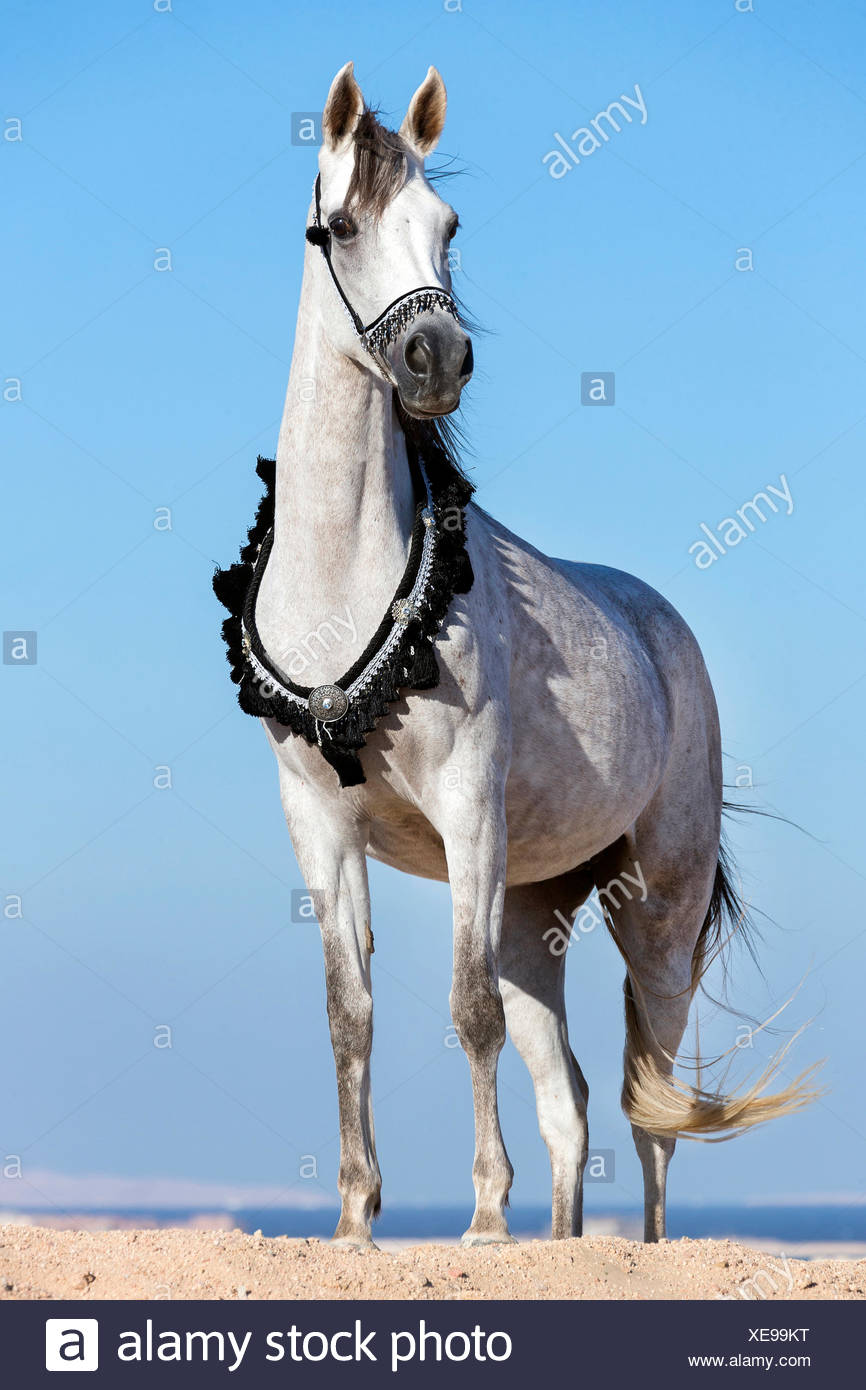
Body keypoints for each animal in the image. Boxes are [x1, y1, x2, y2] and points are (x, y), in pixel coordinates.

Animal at [214, 61, 818, 1247]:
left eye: (447, 226)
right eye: (341, 226)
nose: (437, 359)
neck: (347, 581)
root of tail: (665, 631)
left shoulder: (468, 813)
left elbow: (467, 1012)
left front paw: (484, 1219)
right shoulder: (320, 824)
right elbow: (349, 1013)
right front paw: (357, 1220)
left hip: (652, 906)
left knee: (649, 1093)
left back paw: (643, 1247)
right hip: (533, 911)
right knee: (571, 1099)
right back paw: (564, 1239)